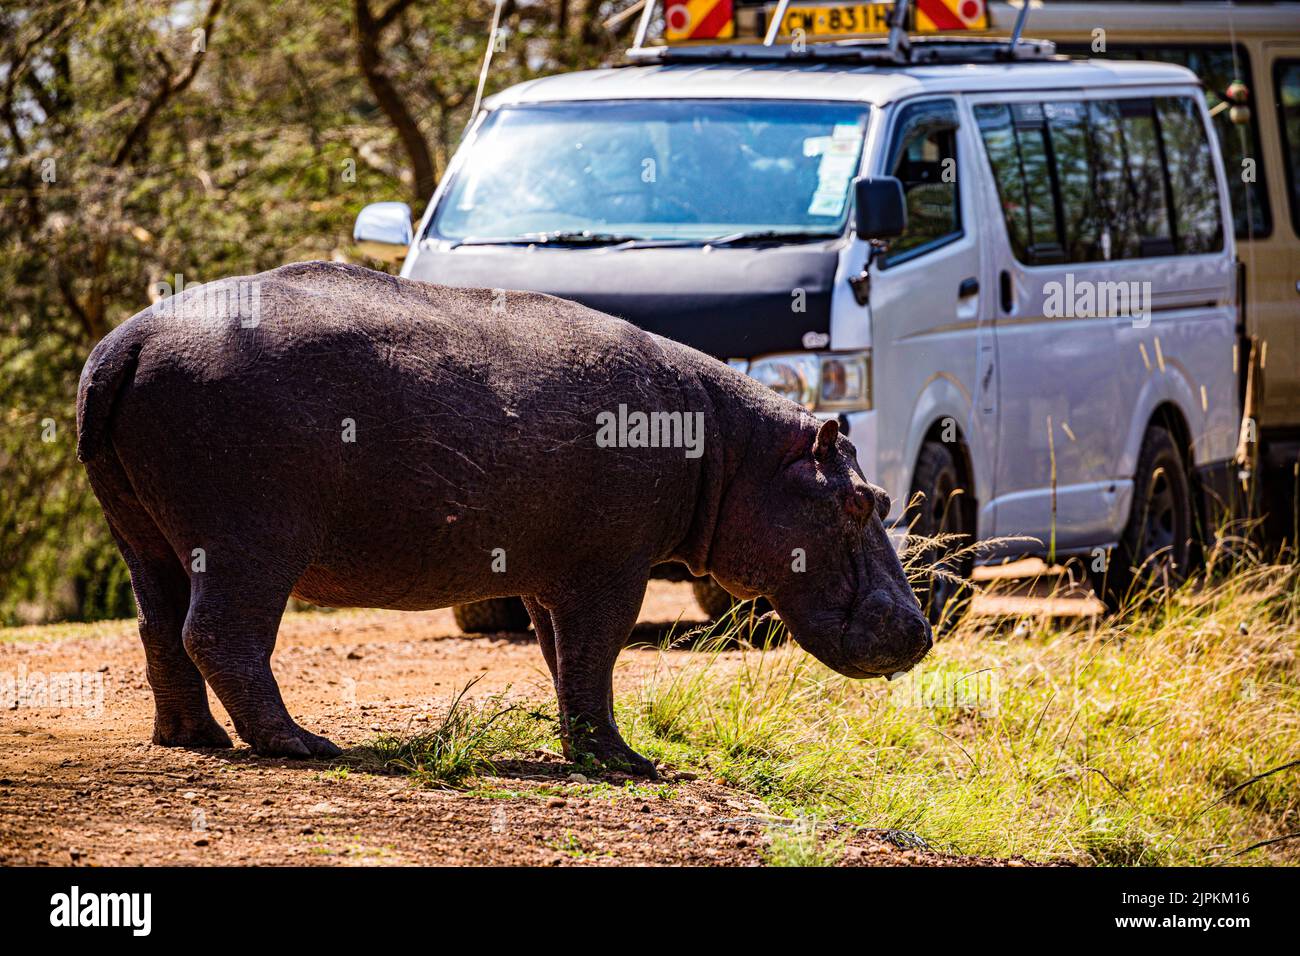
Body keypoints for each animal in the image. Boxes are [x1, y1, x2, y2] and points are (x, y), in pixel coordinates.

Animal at [77, 261, 931, 776]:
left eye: (885, 501)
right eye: (861, 501)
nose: (921, 630)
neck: (736, 449)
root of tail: (127, 341)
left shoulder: (556, 575)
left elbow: (564, 659)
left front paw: (589, 753)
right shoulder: (609, 573)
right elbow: (596, 655)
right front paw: (629, 764)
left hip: (143, 536)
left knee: (159, 628)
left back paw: (194, 738)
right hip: (250, 543)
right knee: (221, 634)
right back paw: (306, 745)